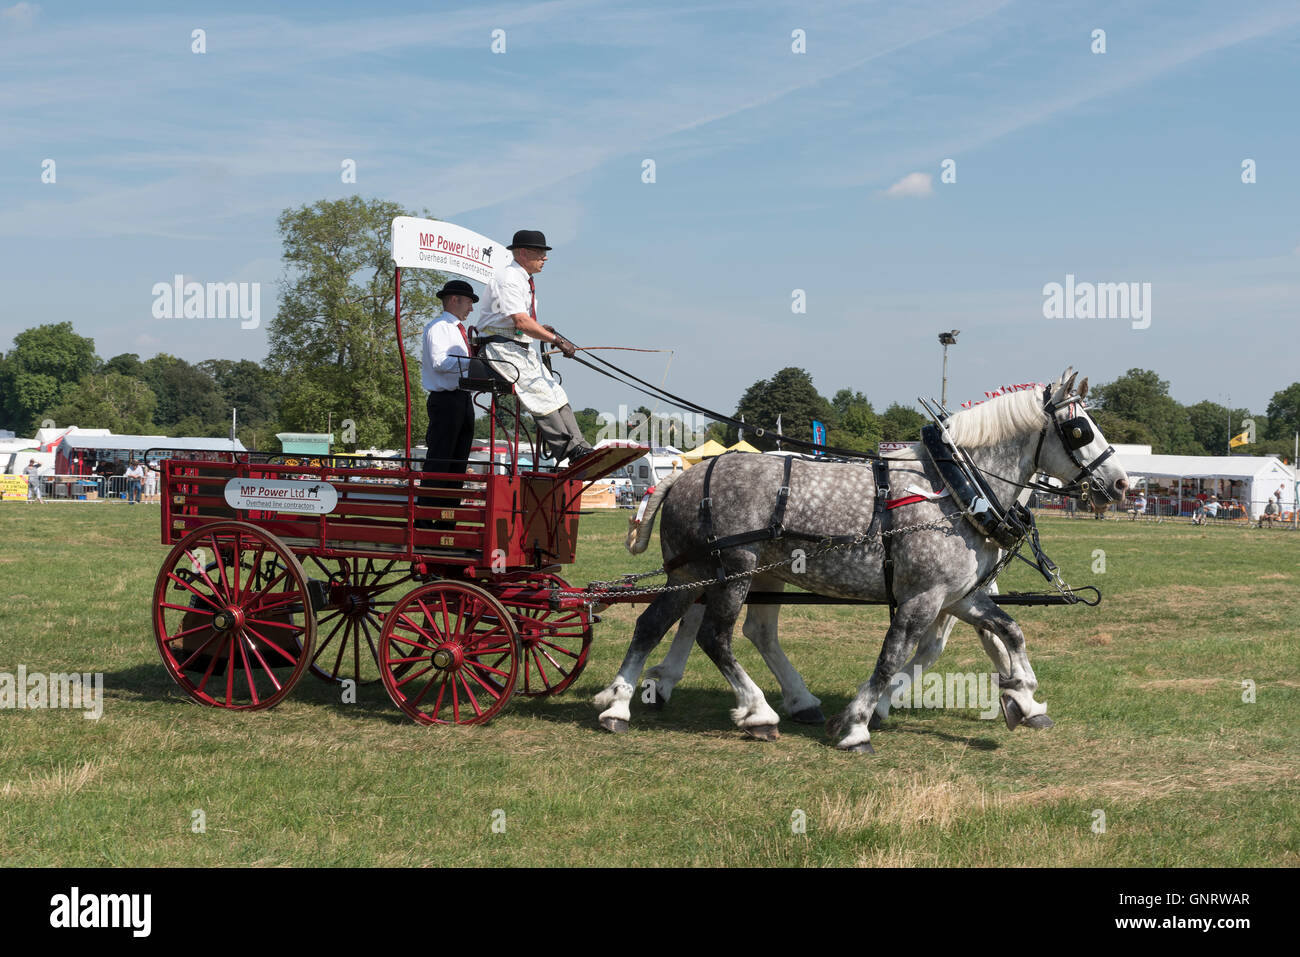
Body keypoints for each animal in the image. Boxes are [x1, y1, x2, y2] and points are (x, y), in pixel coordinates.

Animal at [593, 370, 1127, 751]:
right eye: (1081, 429)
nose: (1121, 484)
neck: (956, 488)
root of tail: (683, 476)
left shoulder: (959, 595)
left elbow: (1009, 630)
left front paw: (1024, 694)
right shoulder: (921, 598)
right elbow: (893, 656)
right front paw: (856, 725)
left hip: (695, 571)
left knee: (656, 623)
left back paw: (619, 705)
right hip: (734, 570)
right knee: (714, 634)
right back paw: (758, 712)